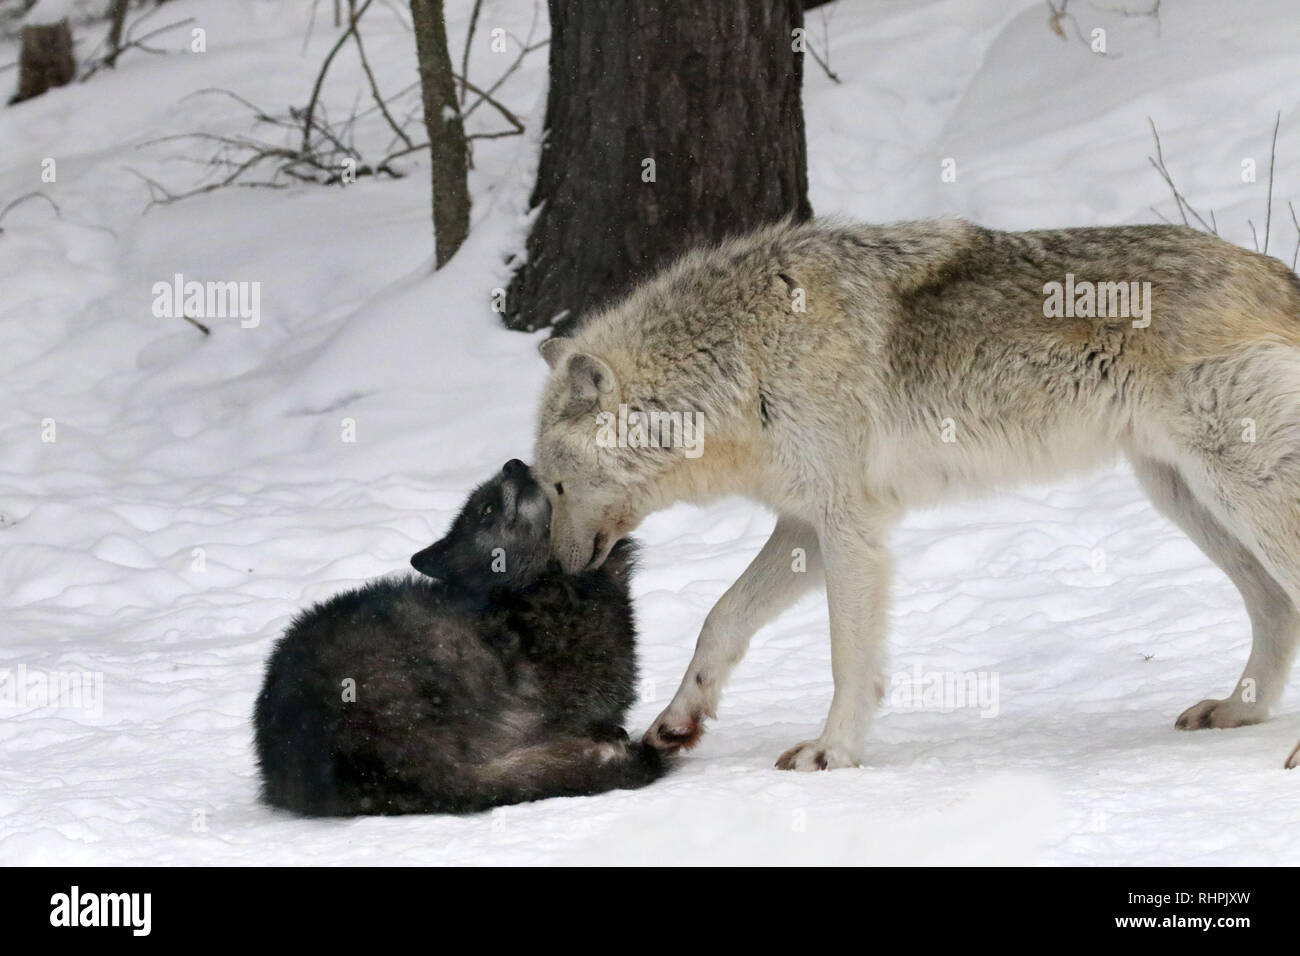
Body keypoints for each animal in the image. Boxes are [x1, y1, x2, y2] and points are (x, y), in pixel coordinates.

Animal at [533, 218, 1300, 771]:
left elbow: (848, 661)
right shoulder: (804, 527)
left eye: (557, 485)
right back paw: (1237, 711)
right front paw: (675, 724)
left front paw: (831, 752)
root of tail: (1275, 270)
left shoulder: (849, 530)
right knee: (1274, 606)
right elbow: (719, 620)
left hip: (1236, 486)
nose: (561, 569)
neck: (742, 362)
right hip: (1184, 497)